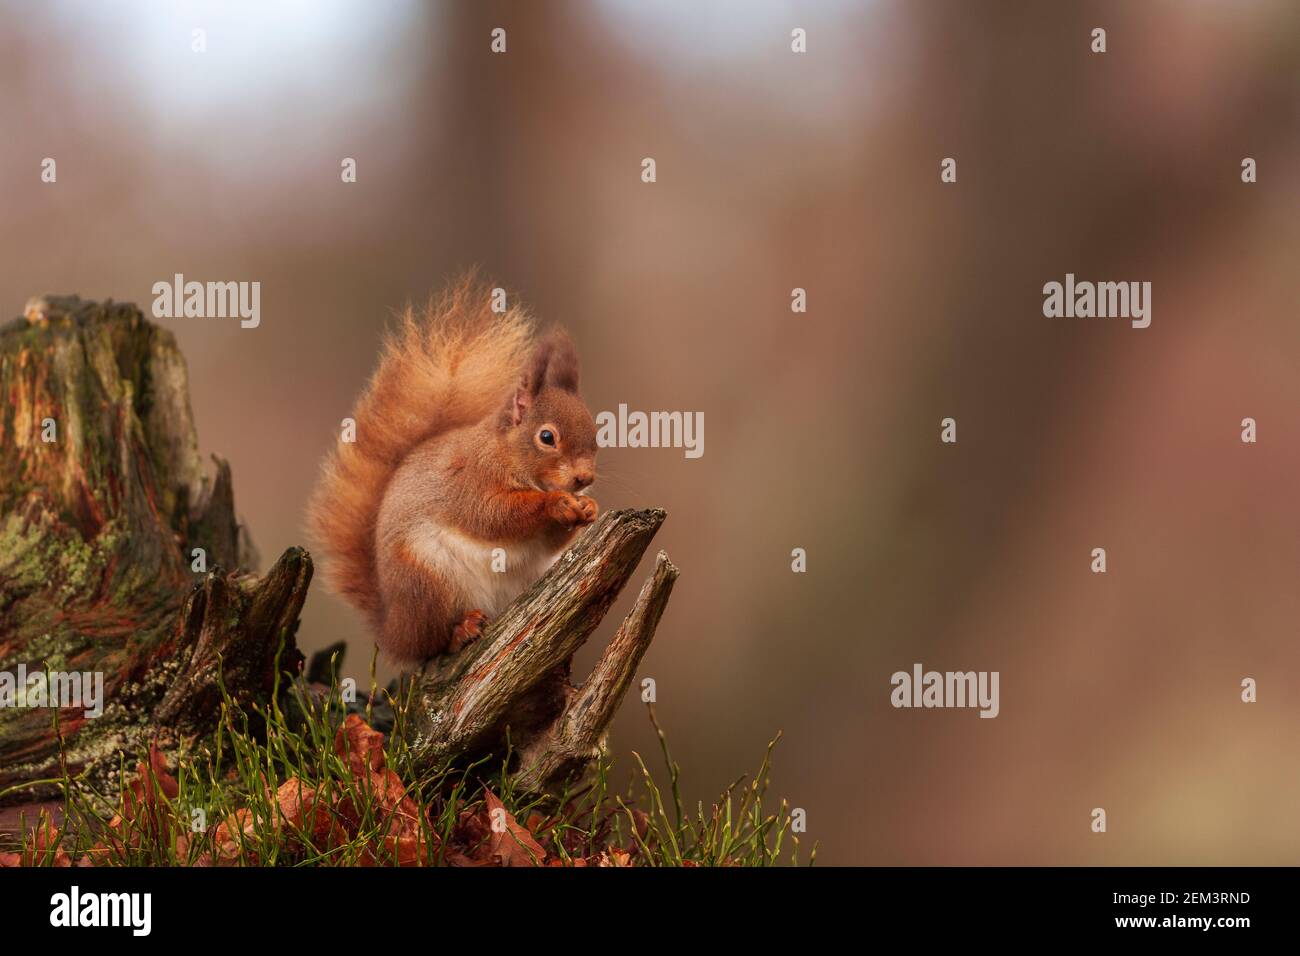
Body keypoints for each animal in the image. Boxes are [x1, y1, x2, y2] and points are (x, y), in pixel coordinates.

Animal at [308, 277, 599, 665]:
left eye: (596, 433)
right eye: (547, 437)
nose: (585, 479)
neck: (506, 452)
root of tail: (393, 628)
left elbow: (550, 539)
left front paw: (589, 508)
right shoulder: (471, 481)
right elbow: (493, 516)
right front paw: (556, 504)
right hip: (426, 579)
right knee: (429, 645)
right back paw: (460, 631)